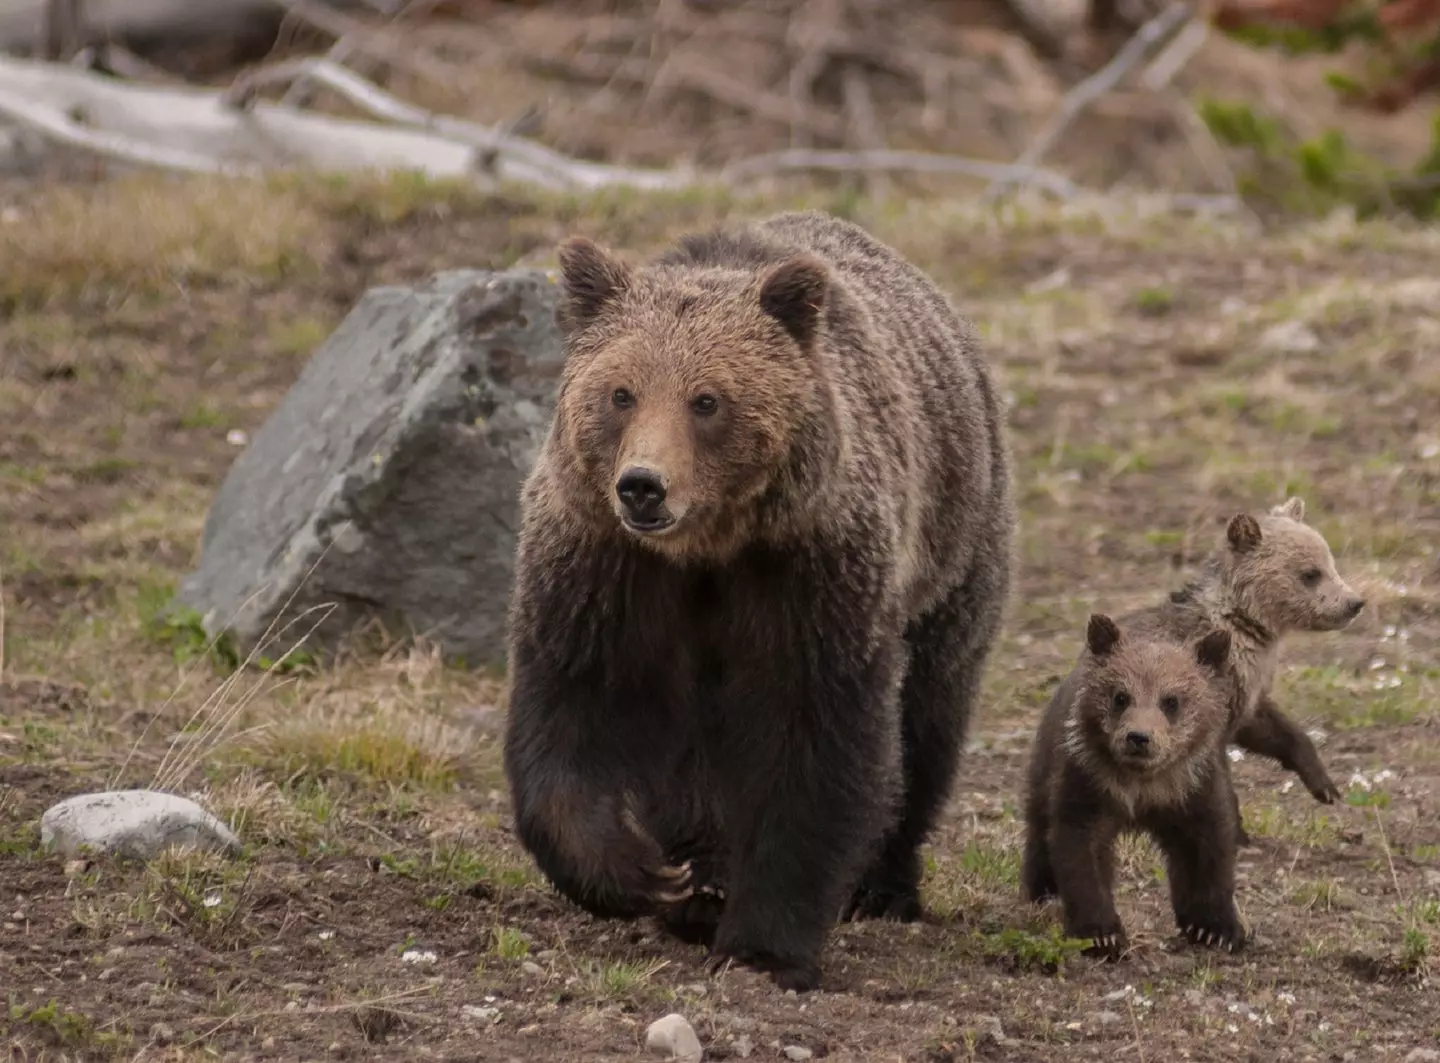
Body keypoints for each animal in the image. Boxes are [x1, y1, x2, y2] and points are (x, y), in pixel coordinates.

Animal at [501, 211, 1019, 990]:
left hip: (955, 552)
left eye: (707, 399)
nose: (643, 486)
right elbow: (570, 715)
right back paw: (700, 881)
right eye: (621, 393)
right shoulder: (600, 572)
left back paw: (883, 887)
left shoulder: (811, 574)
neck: (706, 552)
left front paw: (764, 943)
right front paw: (649, 874)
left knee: (928, 719)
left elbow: (815, 743)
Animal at [1019, 607, 1244, 956]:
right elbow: (1078, 849)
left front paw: (1215, 929)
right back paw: (1040, 896)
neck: (1143, 786)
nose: (1138, 737)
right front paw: (1101, 933)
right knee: (1039, 832)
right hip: (1043, 766)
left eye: (1171, 700)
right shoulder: (1087, 782)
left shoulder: (1193, 787)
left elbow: (1208, 847)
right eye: (1121, 696)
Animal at [1117, 492, 1365, 841]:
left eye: (1331, 564)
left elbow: (1274, 729)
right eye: (1310, 573)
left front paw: (1325, 786)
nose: (1354, 603)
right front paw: (1236, 833)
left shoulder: (1246, 690)